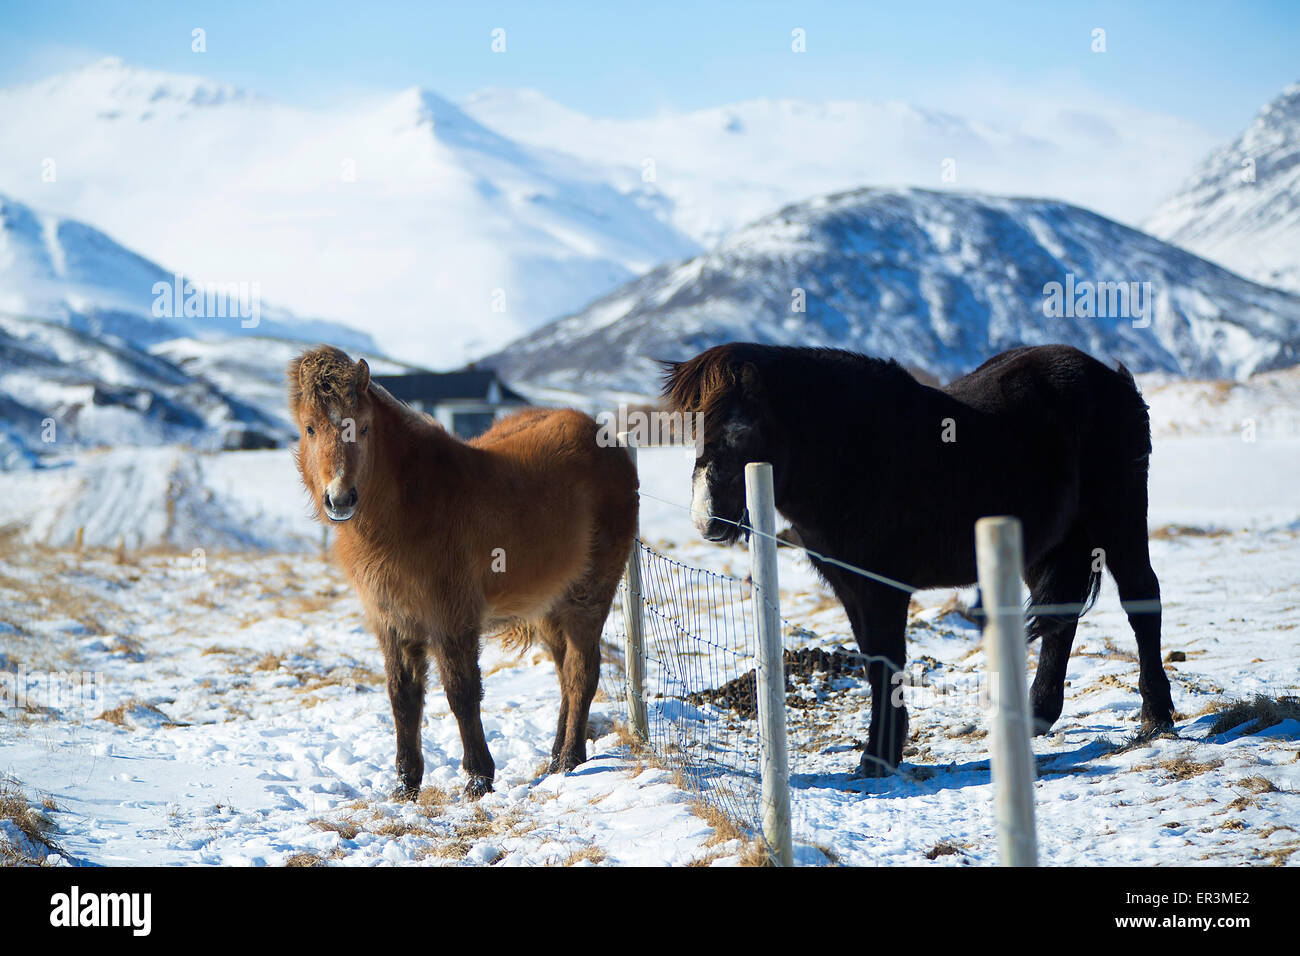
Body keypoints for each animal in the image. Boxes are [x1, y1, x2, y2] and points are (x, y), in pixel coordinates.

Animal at [288, 346, 638, 798]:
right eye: (310, 428)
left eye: (363, 428)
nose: (340, 499)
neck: (410, 504)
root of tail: (606, 440)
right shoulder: (392, 623)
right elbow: (403, 697)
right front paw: (406, 786)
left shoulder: (451, 618)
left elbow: (461, 693)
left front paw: (478, 779)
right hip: (549, 606)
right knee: (565, 674)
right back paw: (556, 759)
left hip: (587, 598)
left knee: (581, 674)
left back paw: (569, 760)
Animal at [662, 343, 1174, 777]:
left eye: (741, 432)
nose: (708, 520)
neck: (850, 456)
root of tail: (1112, 379)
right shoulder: (851, 587)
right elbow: (873, 662)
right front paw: (882, 752)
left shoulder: (883, 587)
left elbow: (886, 662)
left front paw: (879, 756)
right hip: (1047, 544)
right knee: (1060, 621)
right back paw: (1036, 716)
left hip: (1118, 521)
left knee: (1141, 601)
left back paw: (1156, 716)